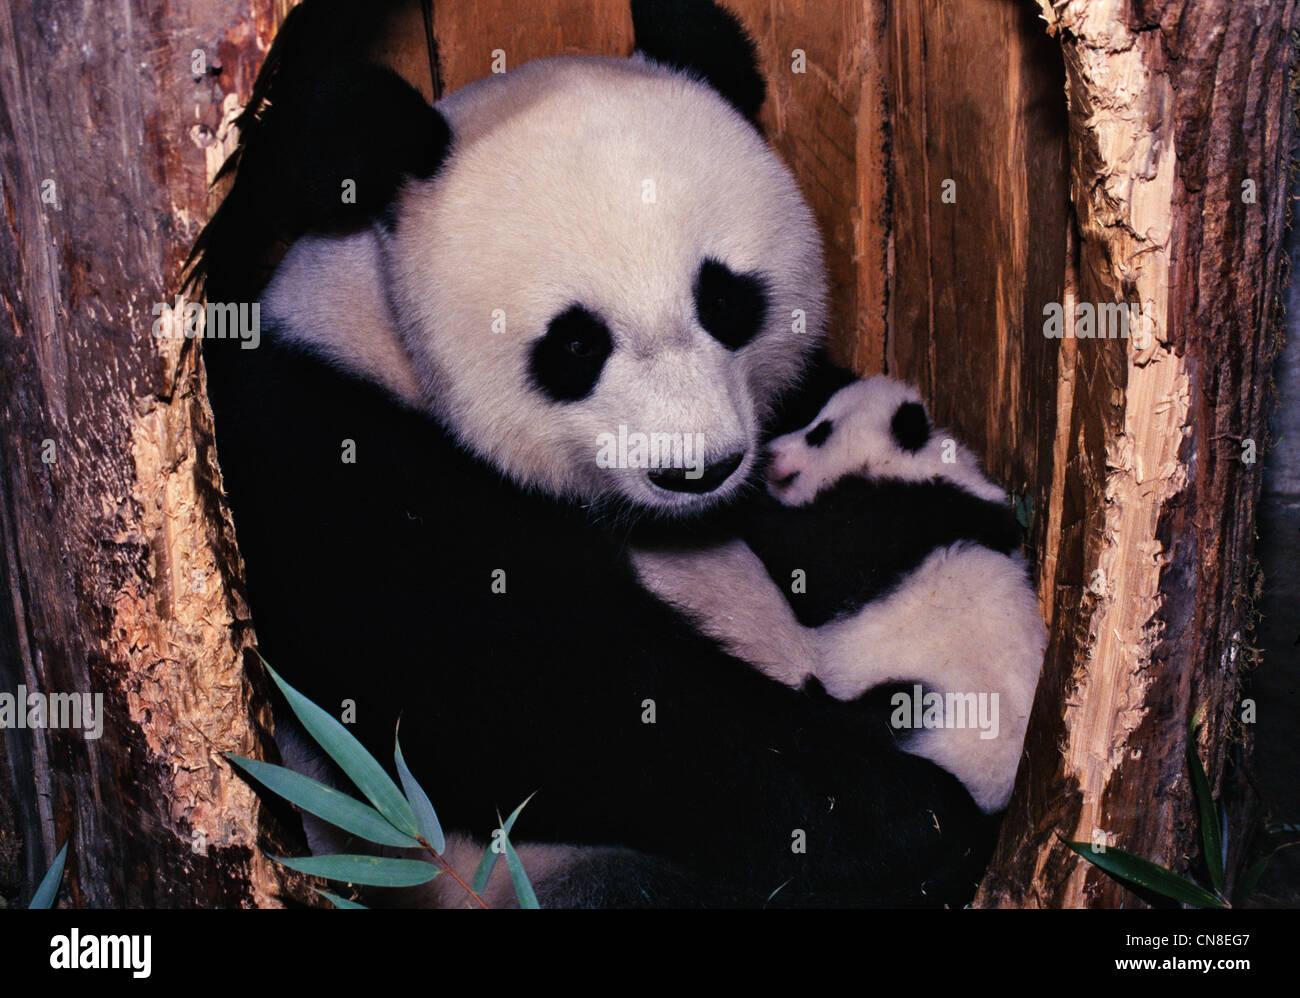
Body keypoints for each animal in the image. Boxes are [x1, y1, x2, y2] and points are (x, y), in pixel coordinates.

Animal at [191, 0, 993, 907]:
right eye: (576, 344)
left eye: (725, 299)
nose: (696, 468)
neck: (382, 338)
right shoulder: (327, 460)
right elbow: (544, 696)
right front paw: (914, 823)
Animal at [632, 376, 1047, 813]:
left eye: (819, 432)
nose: (771, 453)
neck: (909, 462)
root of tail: (989, 794)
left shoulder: (883, 518)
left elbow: (810, 561)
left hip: (936, 706)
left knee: (879, 719)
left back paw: (817, 692)